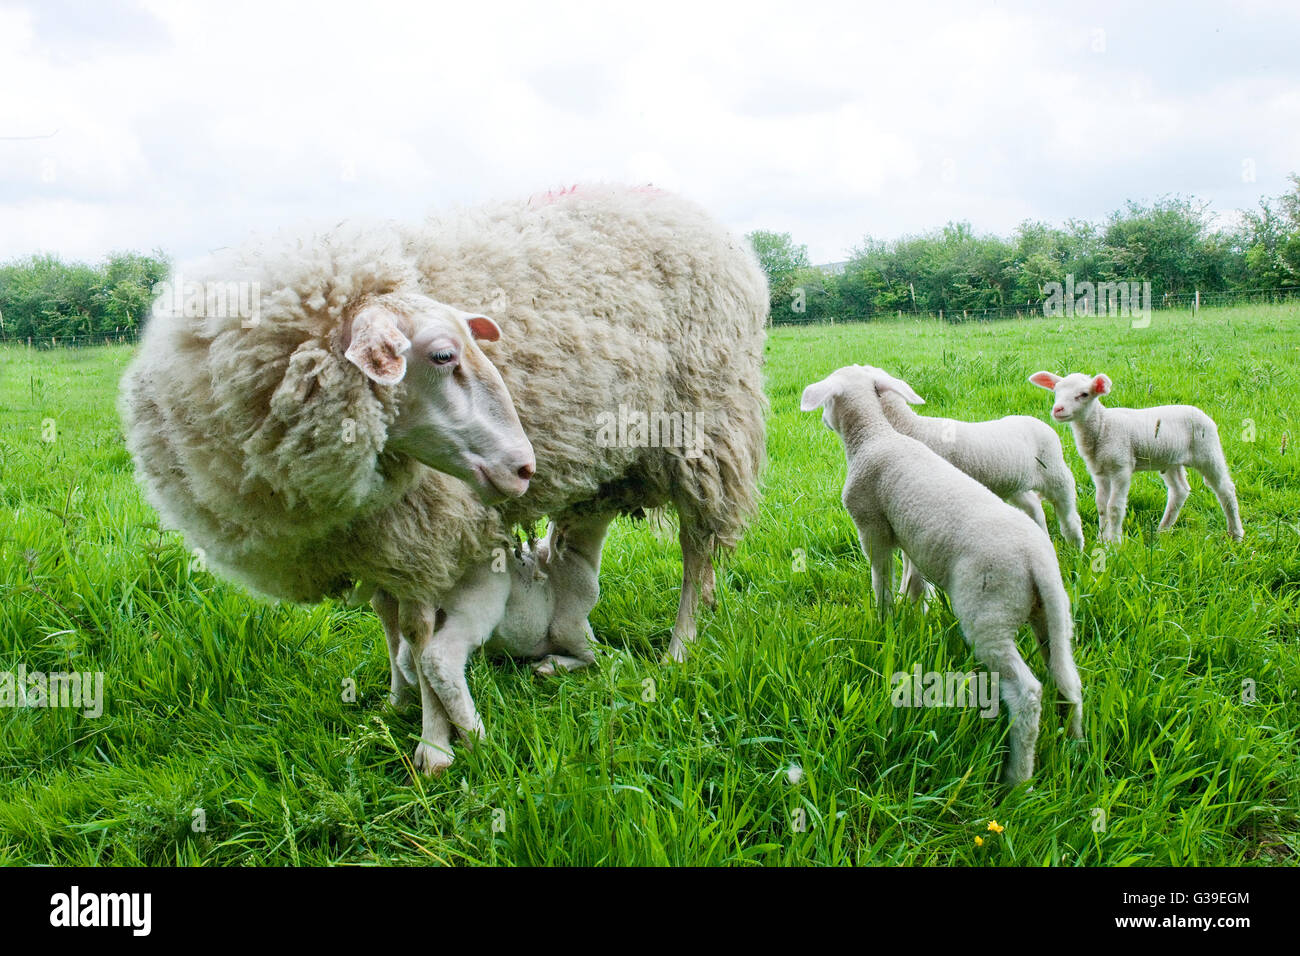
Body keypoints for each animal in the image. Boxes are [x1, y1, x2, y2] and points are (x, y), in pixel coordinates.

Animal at [121, 185, 768, 774]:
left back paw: (681, 646)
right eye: (441, 355)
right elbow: (389, 623)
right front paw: (396, 699)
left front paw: (433, 742)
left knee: (696, 546)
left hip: (706, 432)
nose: (524, 465)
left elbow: (419, 632)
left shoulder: (423, 532)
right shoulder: (369, 539)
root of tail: (687, 210)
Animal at [802, 365, 1084, 786]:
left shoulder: (873, 528)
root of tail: (1038, 562)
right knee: (1066, 677)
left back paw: (1017, 779)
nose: (822, 420)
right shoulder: (912, 537)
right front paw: (915, 609)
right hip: (1050, 613)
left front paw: (884, 621)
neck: (874, 435)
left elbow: (881, 579)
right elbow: (914, 578)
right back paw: (1076, 744)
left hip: (989, 612)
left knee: (1027, 692)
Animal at [1029, 371, 1243, 543]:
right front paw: (1101, 539)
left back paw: (1236, 534)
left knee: (1225, 489)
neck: (1102, 426)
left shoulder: (1121, 468)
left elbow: (1114, 507)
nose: (1058, 410)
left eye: (1084, 394)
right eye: (1056, 391)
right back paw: (1162, 530)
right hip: (1169, 459)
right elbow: (1101, 506)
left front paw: (1114, 543)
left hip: (1208, 451)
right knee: (1179, 491)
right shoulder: (1099, 472)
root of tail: (1203, 413)